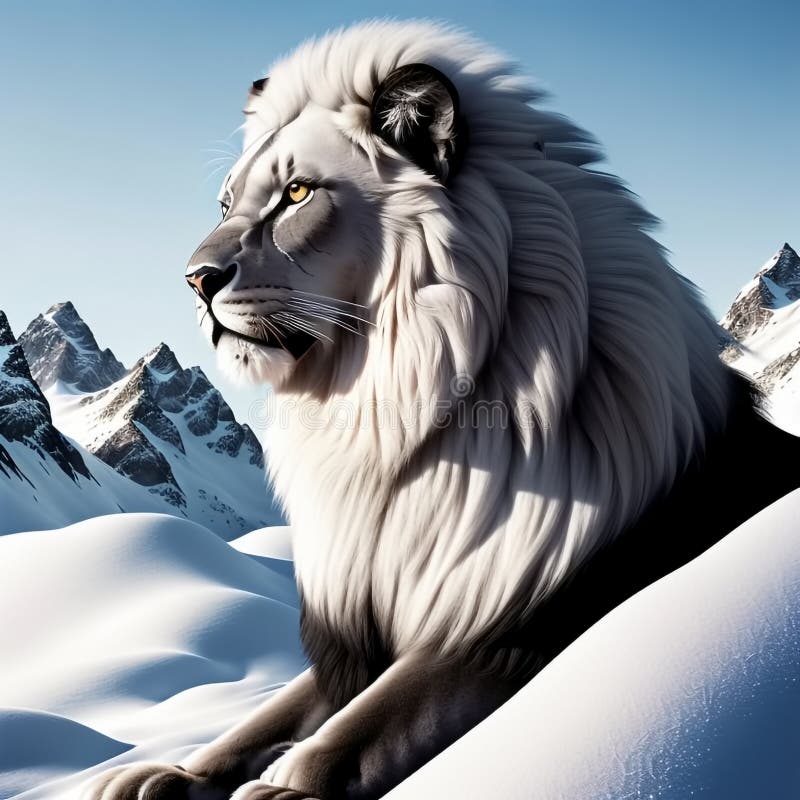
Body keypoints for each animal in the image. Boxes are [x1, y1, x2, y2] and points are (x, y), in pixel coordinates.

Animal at [87, 19, 800, 800]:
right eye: (226, 205)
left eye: (298, 192)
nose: (196, 279)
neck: (385, 417)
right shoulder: (362, 623)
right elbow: (269, 718)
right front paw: (167, 775)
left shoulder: (507, 620)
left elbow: (370, 721)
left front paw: (285, 788)